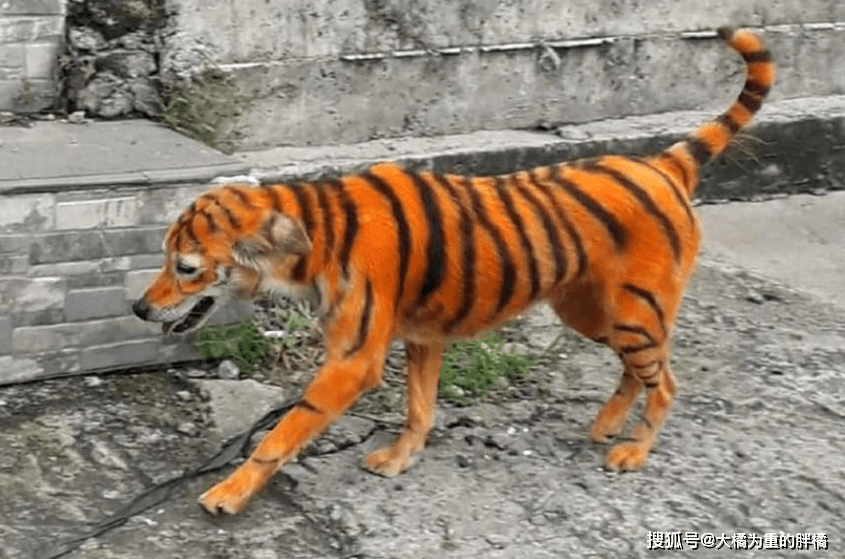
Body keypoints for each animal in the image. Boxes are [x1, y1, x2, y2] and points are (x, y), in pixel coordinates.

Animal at [132, 27, 775, 515]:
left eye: (186, 267)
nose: (139, 308)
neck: (313, 236)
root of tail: (663, 162)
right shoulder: (422, 337)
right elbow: (420, 407)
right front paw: (399, 459)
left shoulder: (354, 360)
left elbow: (283, 432)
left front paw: (227, 493)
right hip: (592, 311)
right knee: (639, 371)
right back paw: (606, 426)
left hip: (634, 312)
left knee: (665, 380)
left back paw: (633, 451)